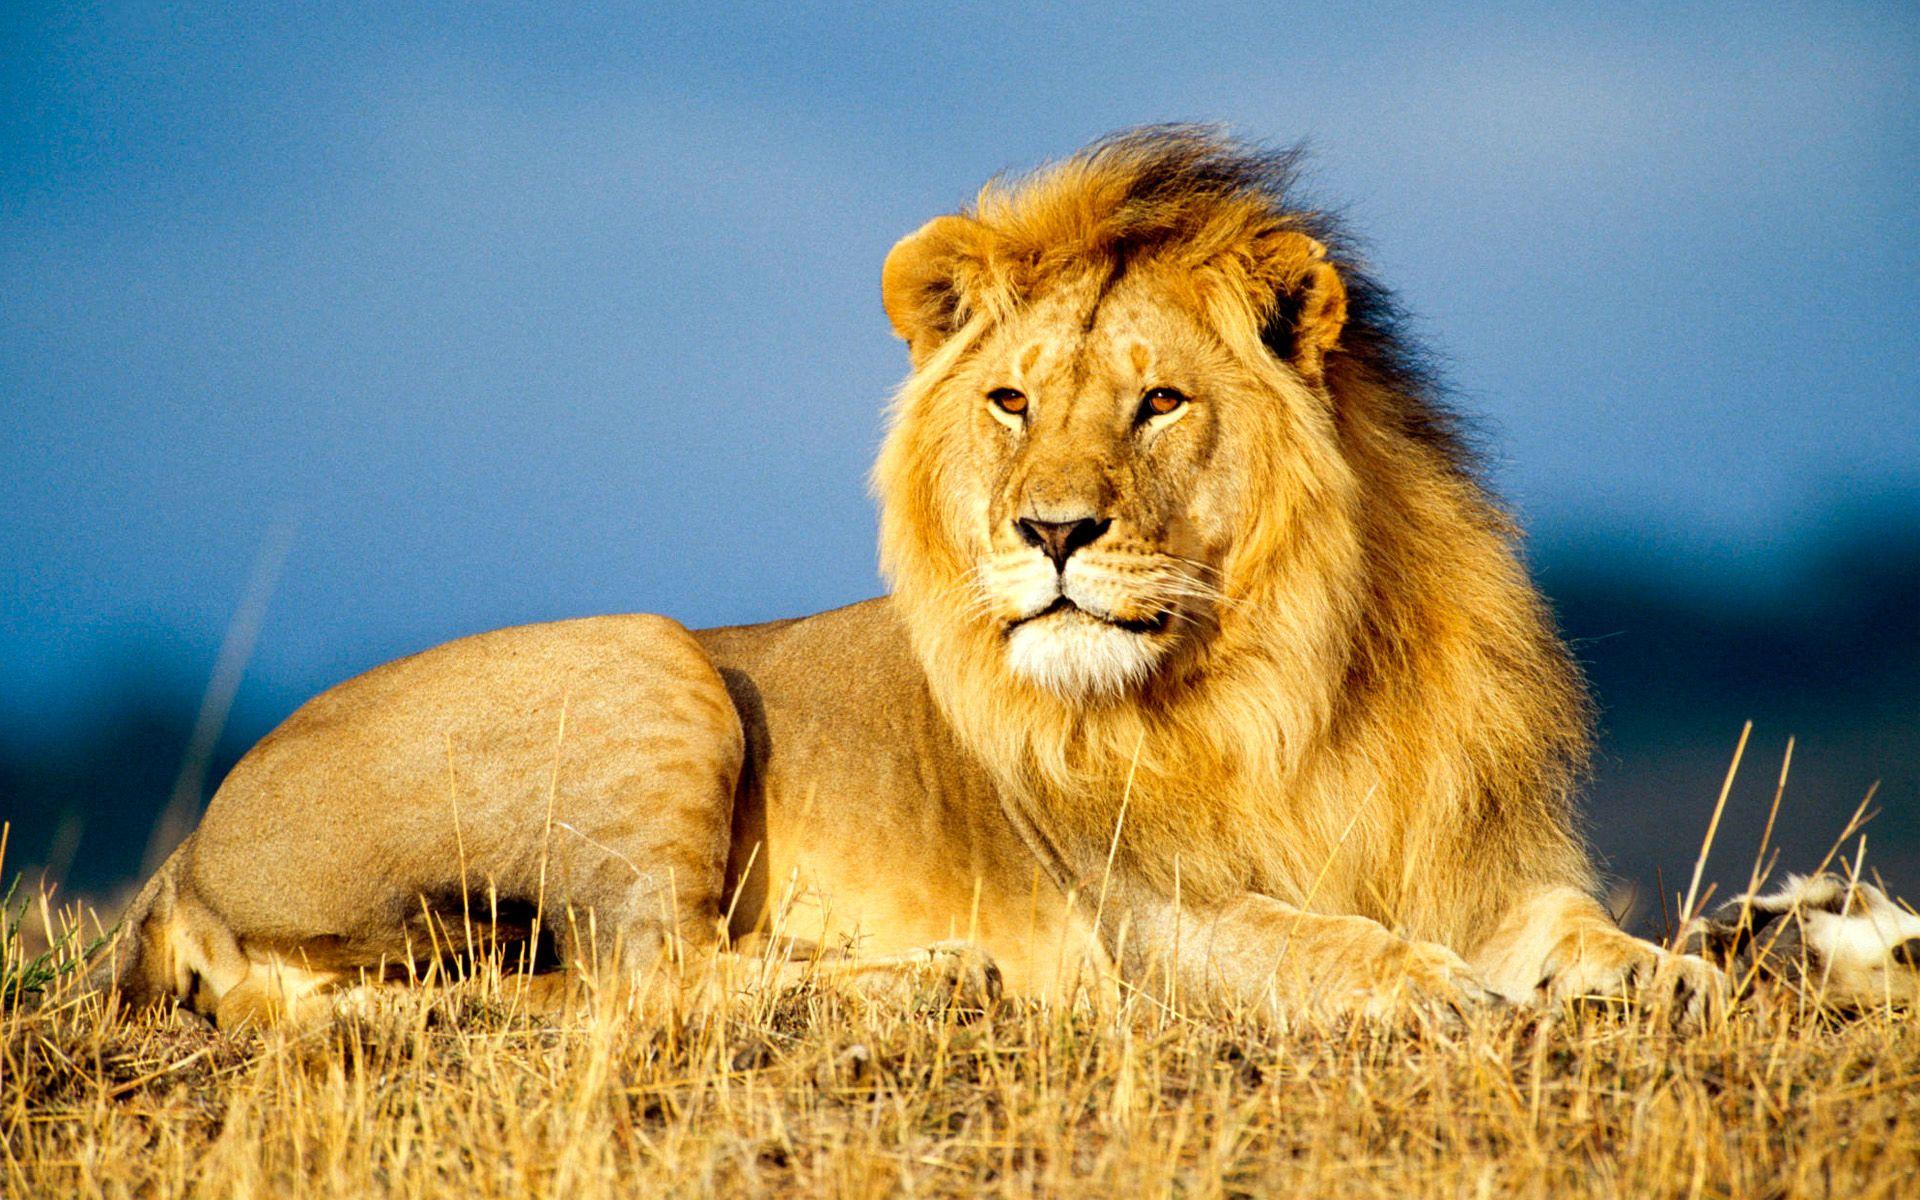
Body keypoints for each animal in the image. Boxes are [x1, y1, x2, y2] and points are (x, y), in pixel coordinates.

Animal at [91, 126, 1734, 1028]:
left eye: (1159, 403)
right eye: (1011, 402)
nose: (1052, 533)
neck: (1294, 674)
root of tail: (185, 853)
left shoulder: (1477, 858)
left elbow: (1573, 928)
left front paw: (1680, 975)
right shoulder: (1143, 917)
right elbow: (1305, 938)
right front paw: (1424, 986)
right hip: (648, 660)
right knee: (645, 977)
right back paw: (927, 981)